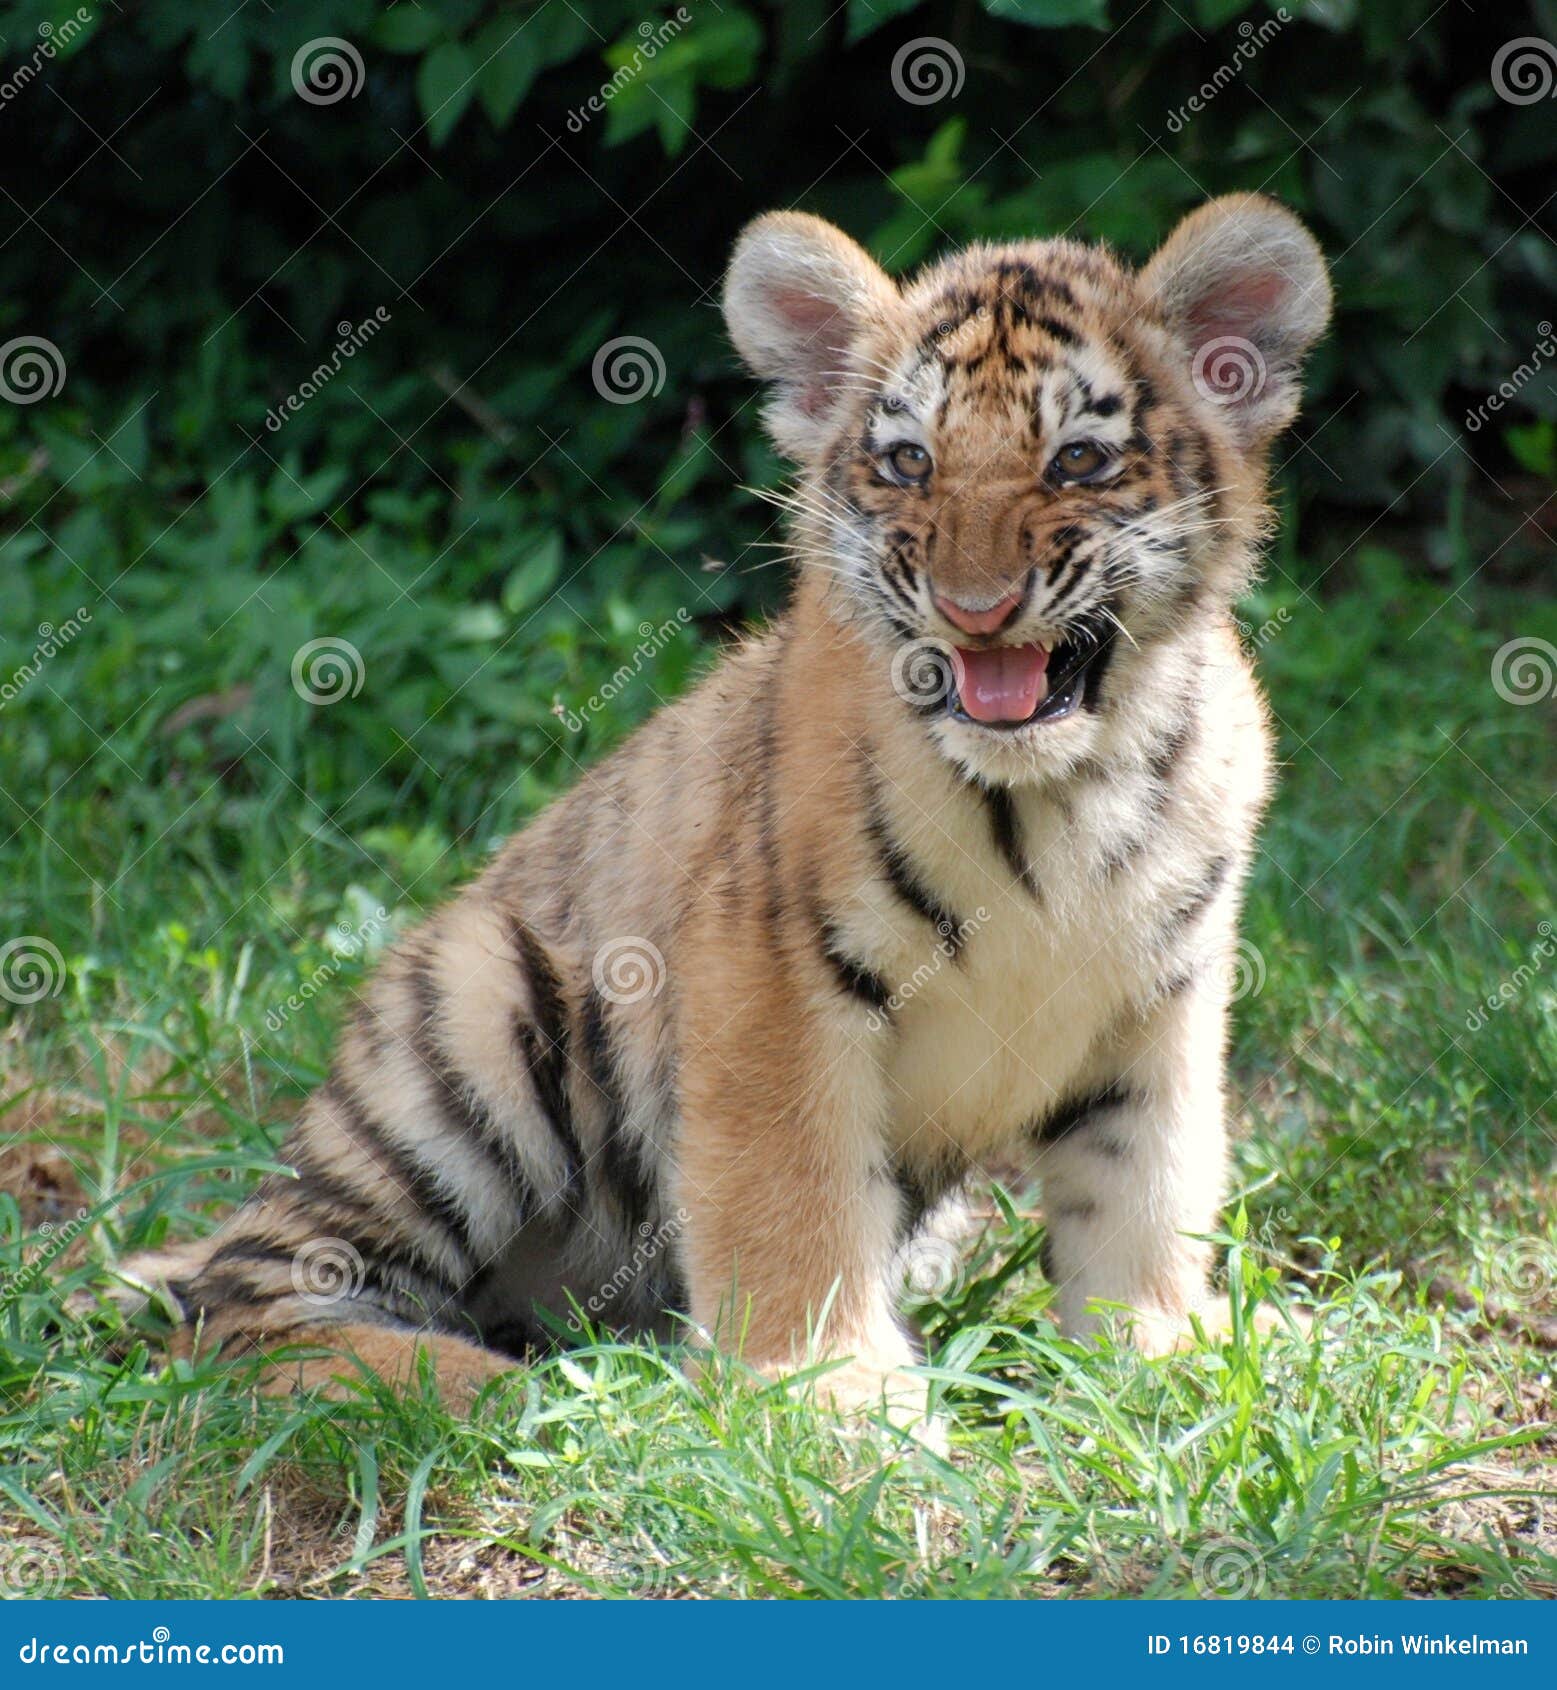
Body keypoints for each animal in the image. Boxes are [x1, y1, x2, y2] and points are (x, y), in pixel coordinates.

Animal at [112, 194, 1331, 1425]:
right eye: (909, 462)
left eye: (1076, 459)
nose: (974, 608)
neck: (1064, 787)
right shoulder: (770, 977)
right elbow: (792, 1191)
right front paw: (831, 1397)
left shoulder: (1163, 994)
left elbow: (1145, 1178)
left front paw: (1160, 1349)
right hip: (471, 1013)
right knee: (253, 1299)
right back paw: (517, 1396)